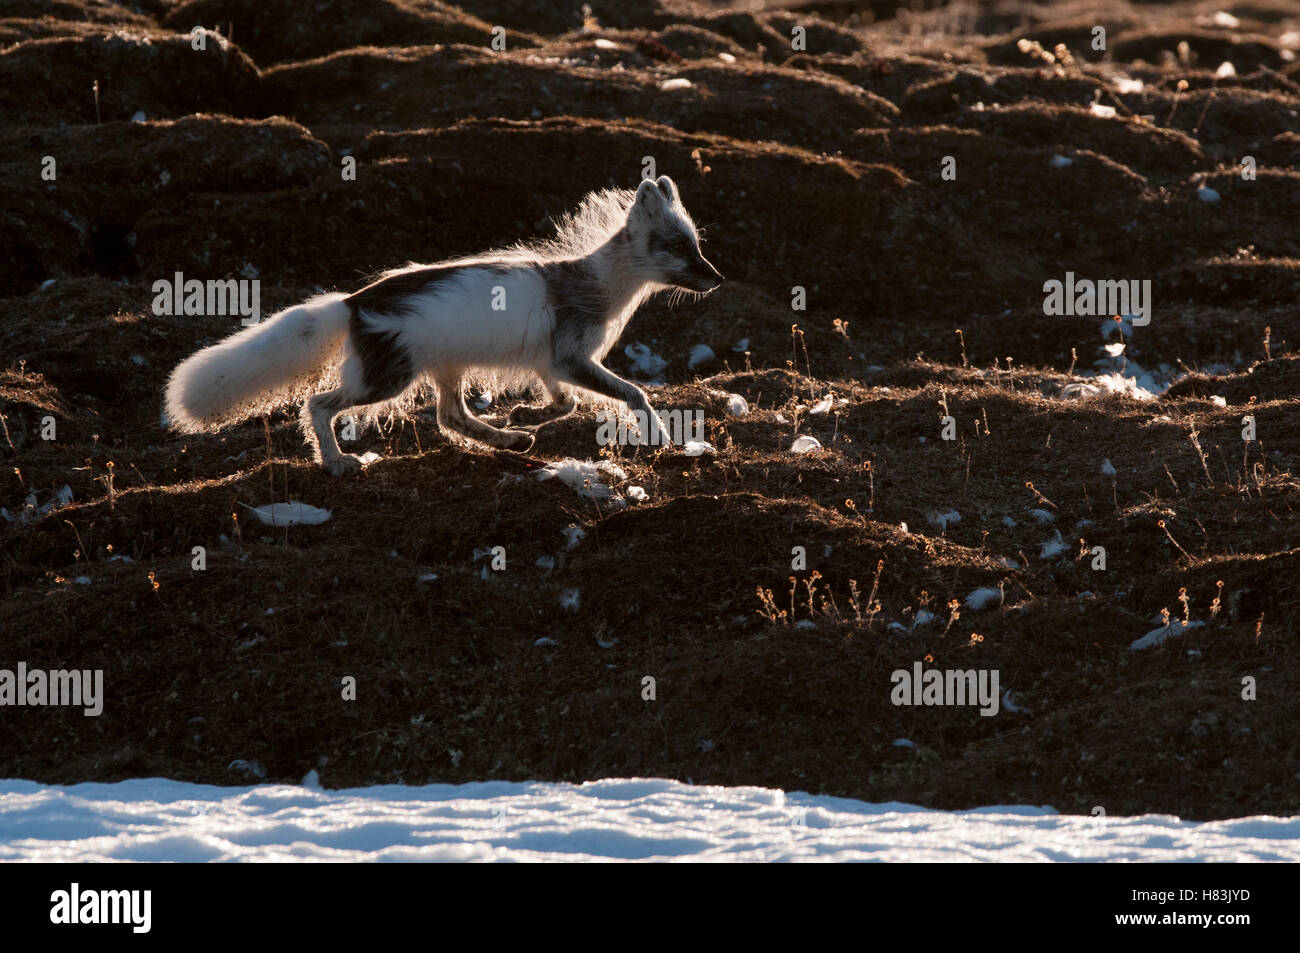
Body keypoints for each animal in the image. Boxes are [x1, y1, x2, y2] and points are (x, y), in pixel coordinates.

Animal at [163, 175, 723, 475]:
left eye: (698, 244)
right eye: (679, 247)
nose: (716, 279)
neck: (600, 284)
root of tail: (352, 301)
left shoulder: (552, 364)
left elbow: (564, 404)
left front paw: (524, 415)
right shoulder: (569, 357)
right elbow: (633, 393)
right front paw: (658, 435)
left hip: (445, 367)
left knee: (449, 417)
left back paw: (510, 442)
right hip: (387, 377)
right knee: (317, 404)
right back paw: (337, 462)